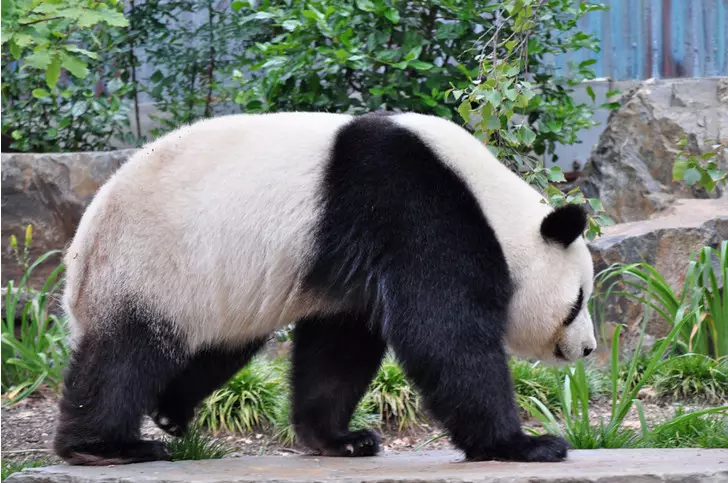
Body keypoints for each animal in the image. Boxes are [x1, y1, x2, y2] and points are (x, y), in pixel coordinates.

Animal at [52, 111, 596, 466]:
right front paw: (525, 445)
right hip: (150, 264)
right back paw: (104, 447)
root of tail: (78, 249)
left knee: (216, 348)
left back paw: (170, 412)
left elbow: (340, 346)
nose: (588, 348)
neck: (491, 202)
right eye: (578, 302)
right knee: (126, 356)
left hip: (216, 291)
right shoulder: (417, 209)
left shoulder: (355, 263)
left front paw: (340, 439)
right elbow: (446, 335)